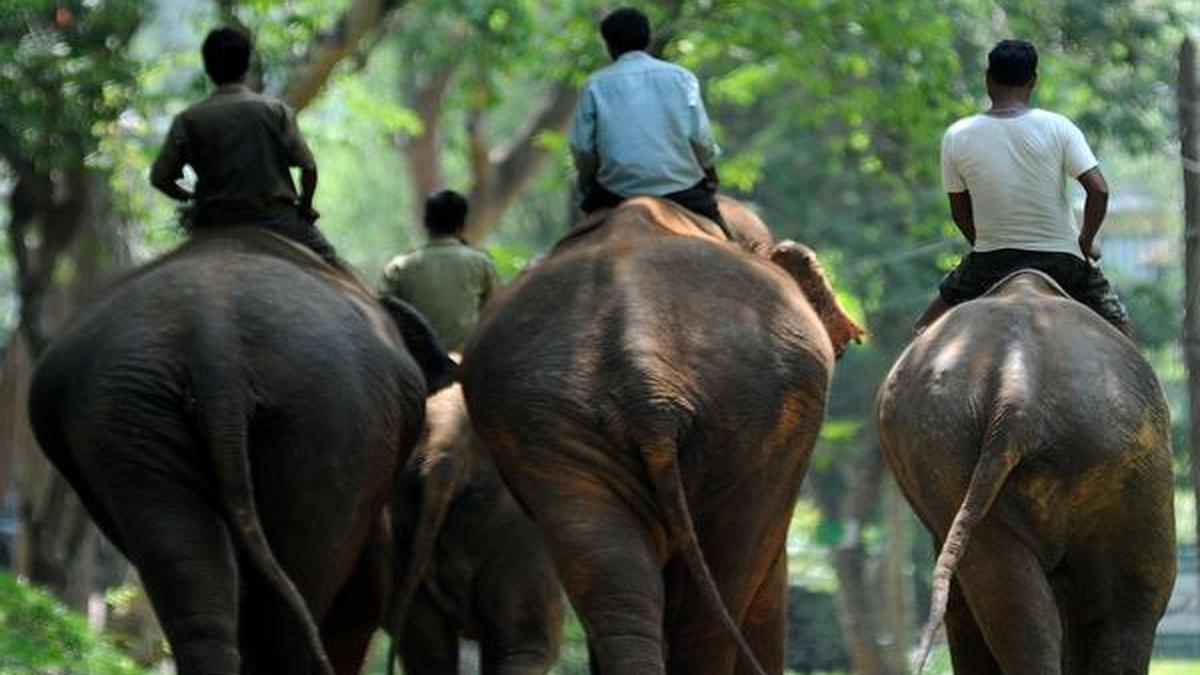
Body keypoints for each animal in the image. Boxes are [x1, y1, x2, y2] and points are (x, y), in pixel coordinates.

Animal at [28, 228, 456, 675]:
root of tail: (216, 353)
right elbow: (364, 596)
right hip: (333, 415)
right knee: (296, 601)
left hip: (125, 412)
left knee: (191, 578)